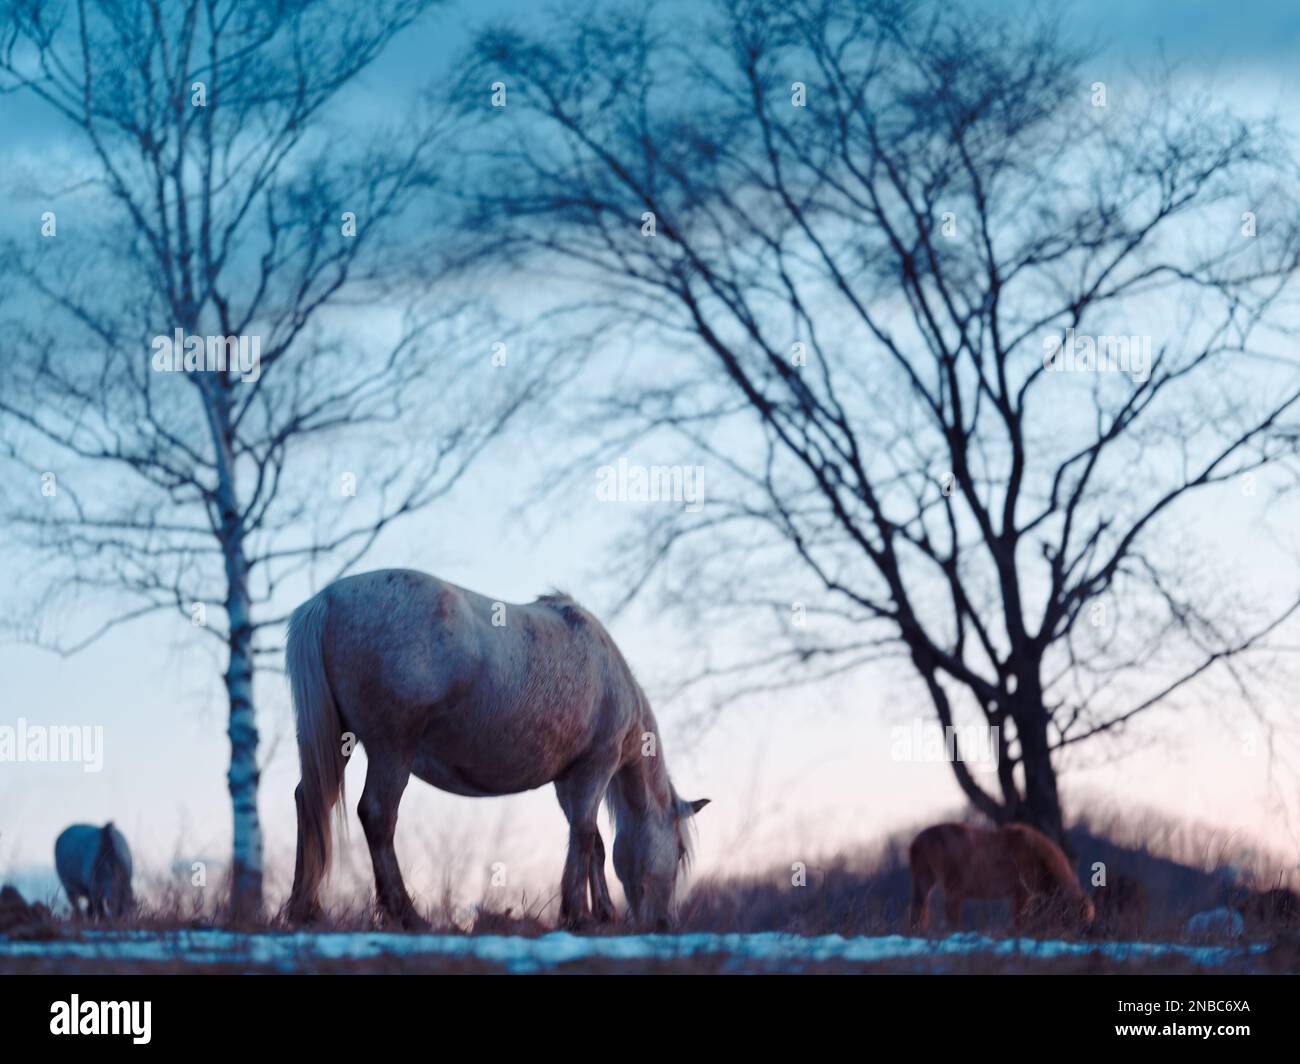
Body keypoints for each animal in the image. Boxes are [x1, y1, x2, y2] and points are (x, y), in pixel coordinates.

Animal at [285, 569, 708, 931]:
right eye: (680, 853)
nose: (665, 924)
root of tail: (327, 599)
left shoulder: (568, 780)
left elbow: (594, 843)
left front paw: (600, 912)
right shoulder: (595, 767)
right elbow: (587, 836)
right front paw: (578, 915)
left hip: (341, 744)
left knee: (312, 802)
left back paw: (305, 910)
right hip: (393, 749)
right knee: (377, 816)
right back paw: (408, 915)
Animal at [908, 822, 1094, 935]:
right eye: (1079, 917)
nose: (1081, 936)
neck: (1037, 856)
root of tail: (917, 841)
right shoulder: (1022, 893)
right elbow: (1020, 921)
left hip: (924, 883)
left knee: (918, 911)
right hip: (951, 889)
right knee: (949, 914)